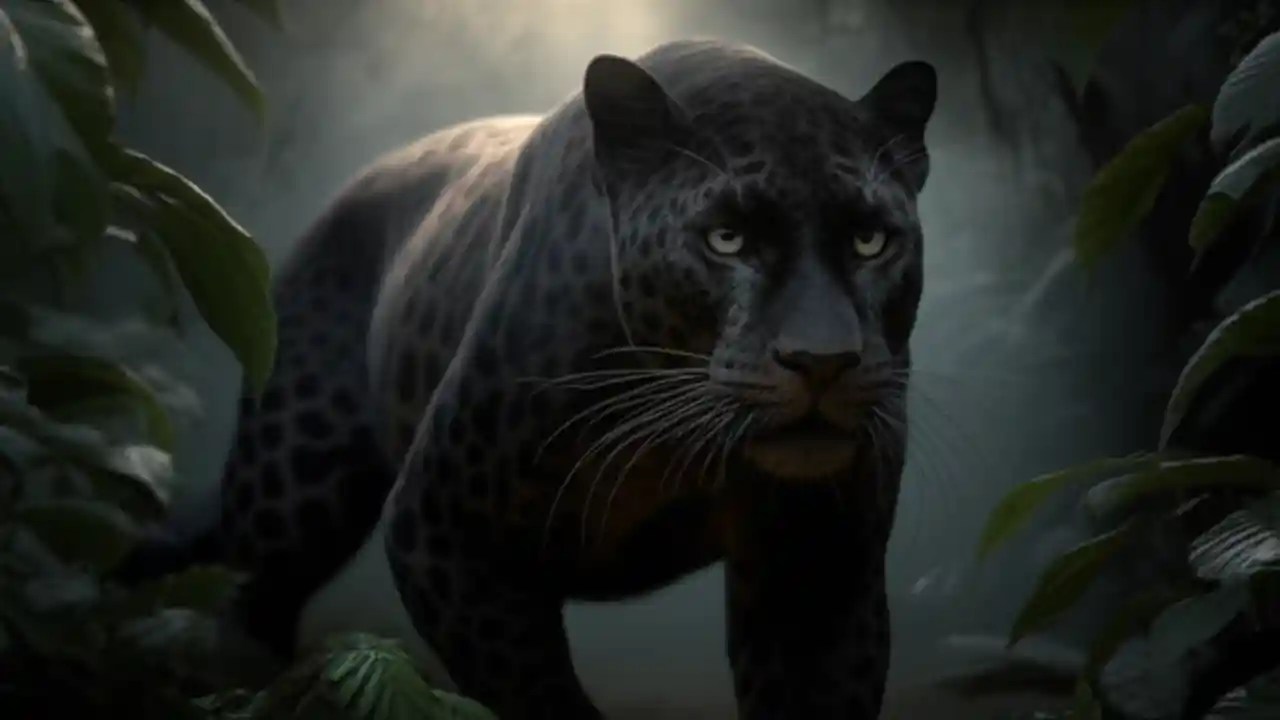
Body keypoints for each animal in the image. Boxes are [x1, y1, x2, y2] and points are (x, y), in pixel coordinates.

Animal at [210, 38, 936, 719]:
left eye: (871, 240)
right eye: (726, 239)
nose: (823, 360)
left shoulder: (822, 574)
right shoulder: (442, 526)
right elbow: (541, 695)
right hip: (290, 495)